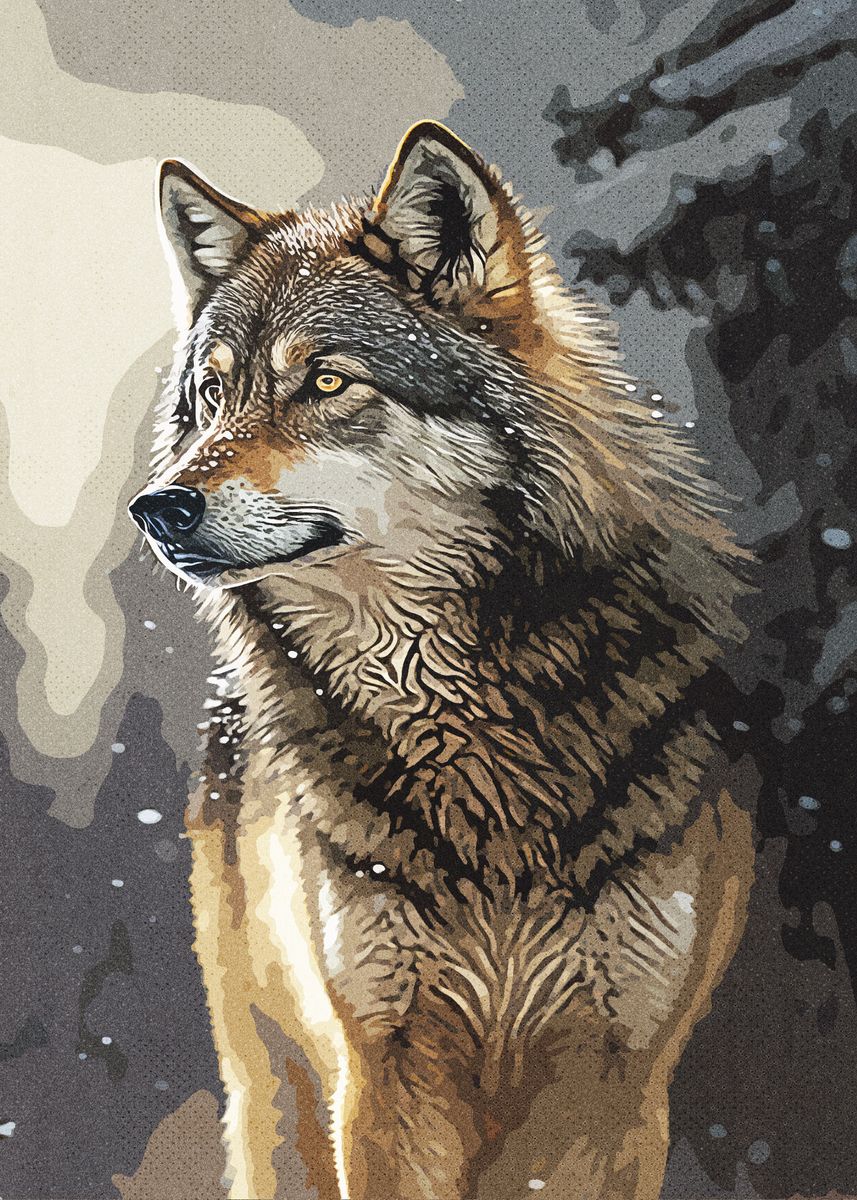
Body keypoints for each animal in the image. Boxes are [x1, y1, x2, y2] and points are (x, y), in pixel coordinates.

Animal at [130, 121, 756, 1200]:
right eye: (213, 392)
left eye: (325, 381)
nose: (157, 506)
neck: (476, 741)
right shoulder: (383, 1067)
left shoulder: (616, 1074)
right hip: (273, 1085)